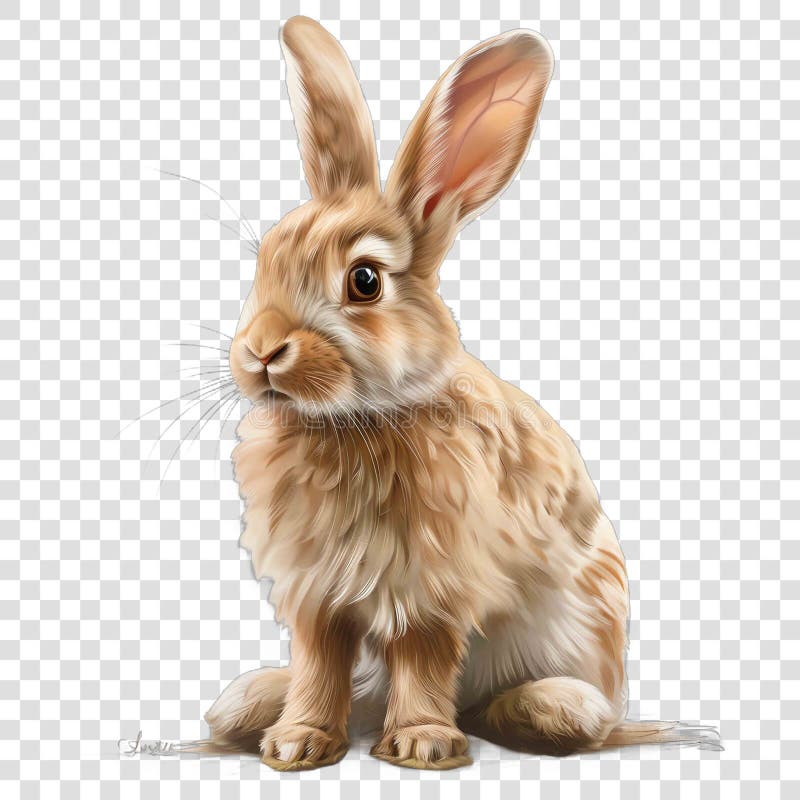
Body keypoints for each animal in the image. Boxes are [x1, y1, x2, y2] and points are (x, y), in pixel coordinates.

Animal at [200, 16, 718, 770]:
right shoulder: (318, 595)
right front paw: (298, 742)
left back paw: (541, 710)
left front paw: (419, 742)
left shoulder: (431, 584)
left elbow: (422, 654)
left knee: (571, 713)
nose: (260, 351)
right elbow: (320, 662)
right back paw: (247, 704)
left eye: (364, 281)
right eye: (267, 258)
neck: (355, 419)